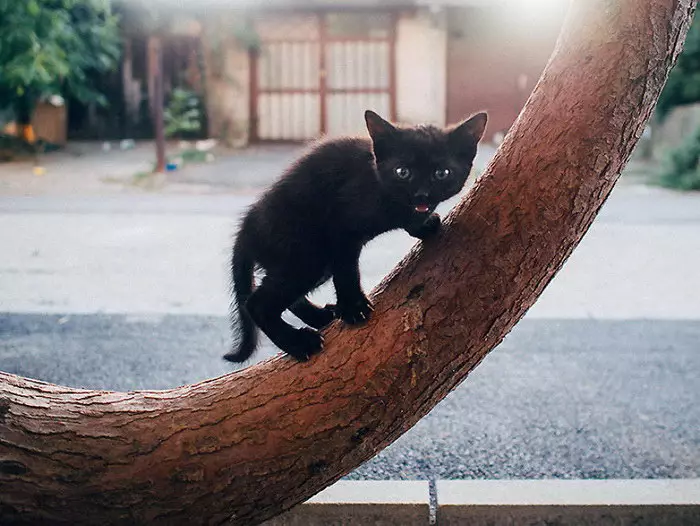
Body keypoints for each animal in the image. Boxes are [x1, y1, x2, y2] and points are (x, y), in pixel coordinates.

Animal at [226, 109, 486, 366]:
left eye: (441, 173)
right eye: (402, 172)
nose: (422, 194)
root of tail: (246, 230)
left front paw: (425, 224)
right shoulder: (341, 228)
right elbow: (347, 270)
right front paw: (353, 307)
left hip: (310, 265)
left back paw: (321, 316)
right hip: (306, 254)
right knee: (257, 303)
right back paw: (298, 343)